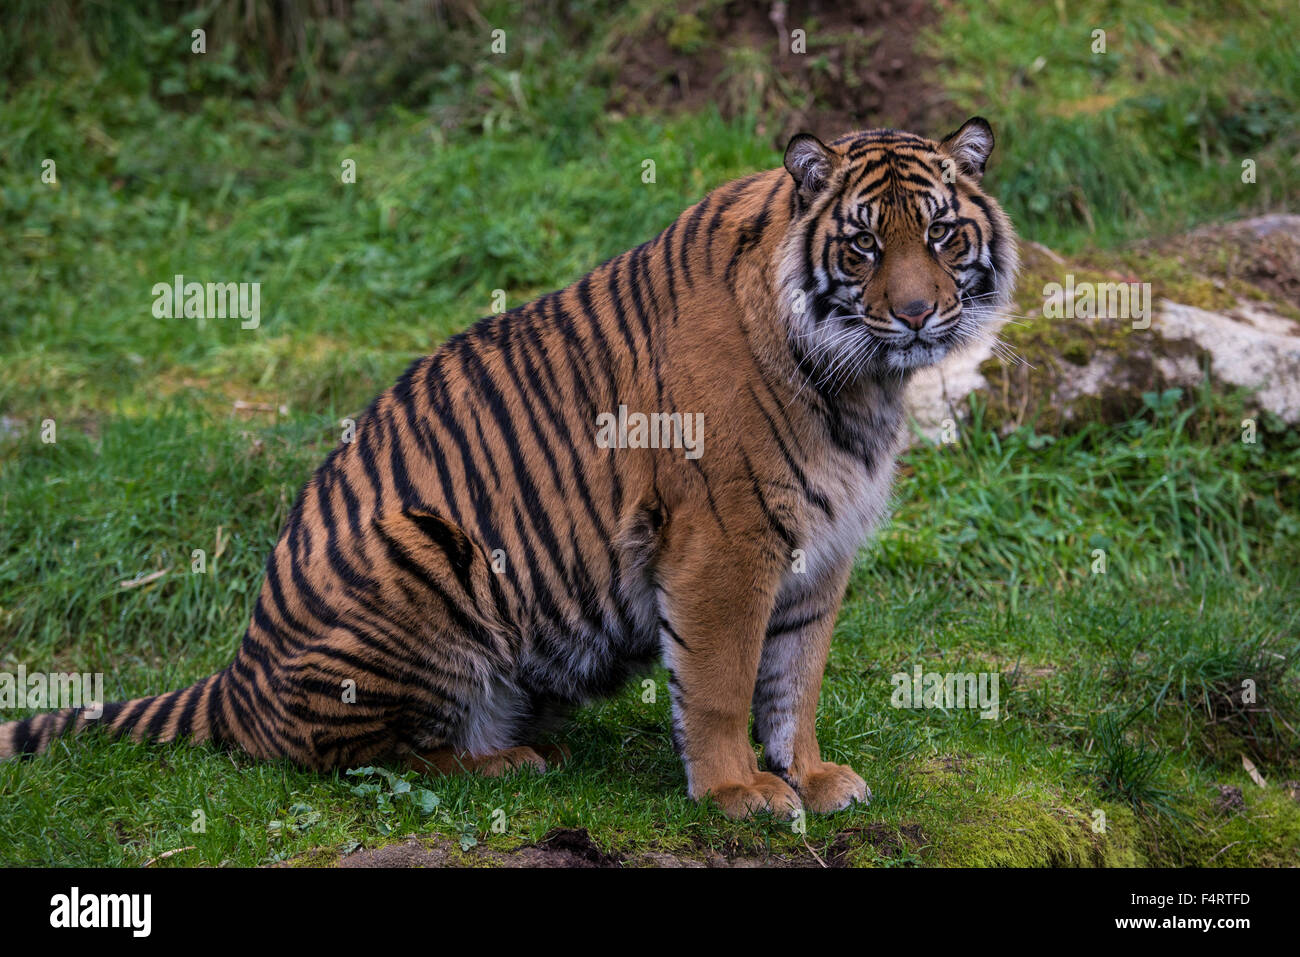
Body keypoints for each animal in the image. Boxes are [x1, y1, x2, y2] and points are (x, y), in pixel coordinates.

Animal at [0, 118, 1017, 819]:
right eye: (863, 245)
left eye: (941, 236)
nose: (918, 314)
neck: (863, 381)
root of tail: (236, 674)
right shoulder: (724, 544)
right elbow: (724, 683)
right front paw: (739, 794)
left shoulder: (821, 547)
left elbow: (794, 679)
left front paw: (809, 774)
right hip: (421, 548)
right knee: (358, 757)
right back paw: (507, 761)